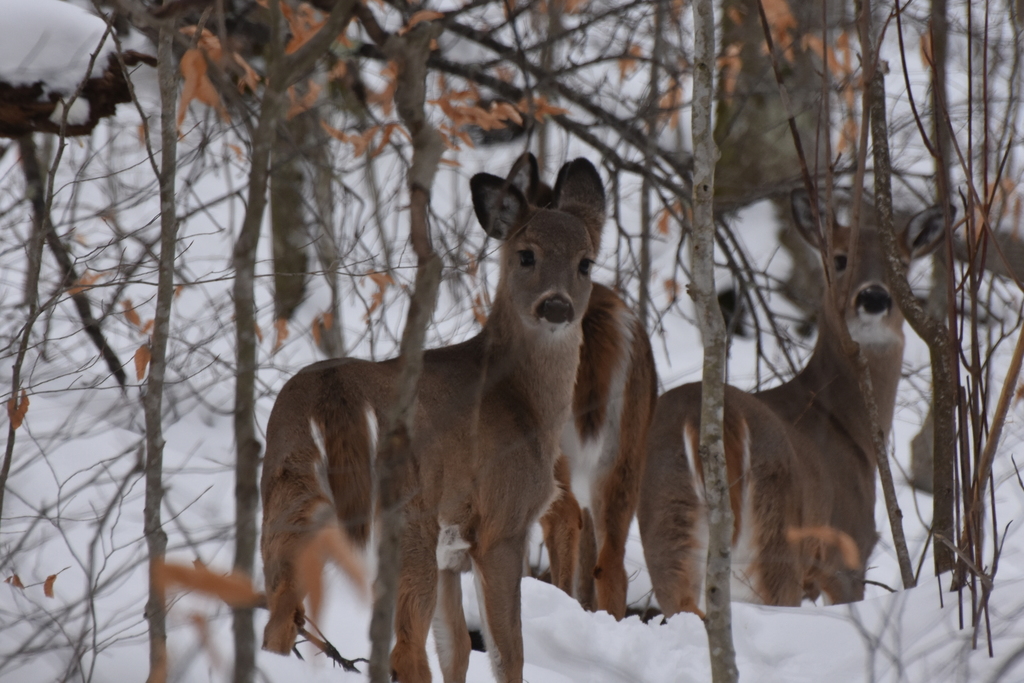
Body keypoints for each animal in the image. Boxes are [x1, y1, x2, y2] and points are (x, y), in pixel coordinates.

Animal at [259, 157, 607, 683]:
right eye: (526, 255)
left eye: (586, 262)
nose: (556, 305)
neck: (521, 402)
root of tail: (334, 392)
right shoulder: (502, 523)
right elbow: (508, 651)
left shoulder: (451, 550)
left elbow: (457, 646)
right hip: (405, 520)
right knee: (403, 650)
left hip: (286, 504)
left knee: (279, 622)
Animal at [638, 189, 949, 616]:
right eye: (839, 258)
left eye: (901, 263)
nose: (874, 297)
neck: (847, 424)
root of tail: (708, 421)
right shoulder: (848, 546)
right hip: (776, 536)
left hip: (664, 520)